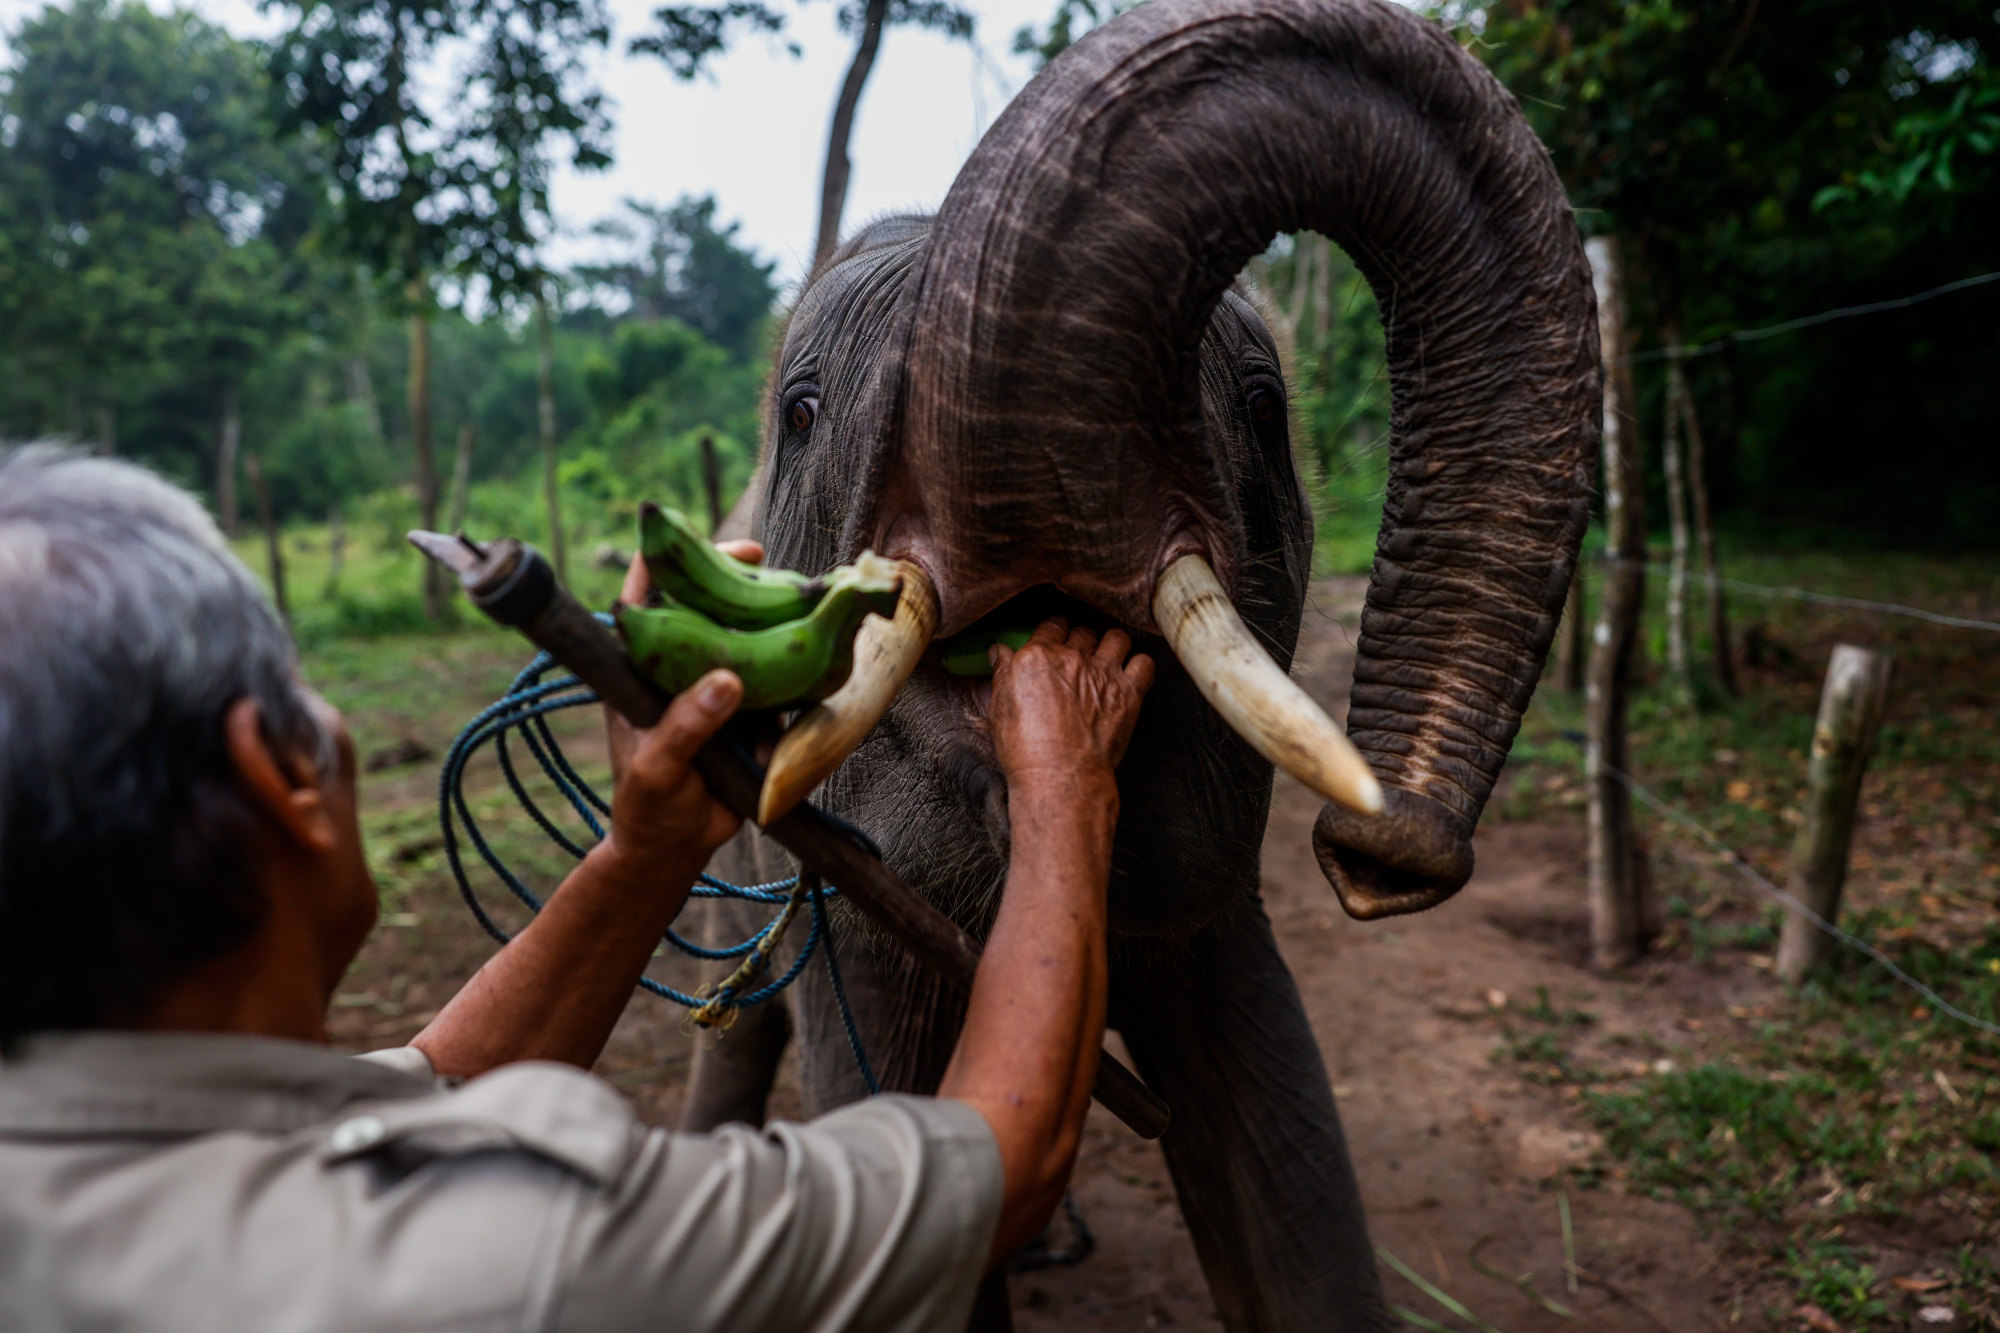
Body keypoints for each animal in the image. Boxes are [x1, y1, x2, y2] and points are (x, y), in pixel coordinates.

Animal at [675, 0, 1600, 1327]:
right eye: (801, 412)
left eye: (1261, 411)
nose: (1380, 860)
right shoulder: (845, 893)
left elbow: (1284, 1154)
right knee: (735, 1025)